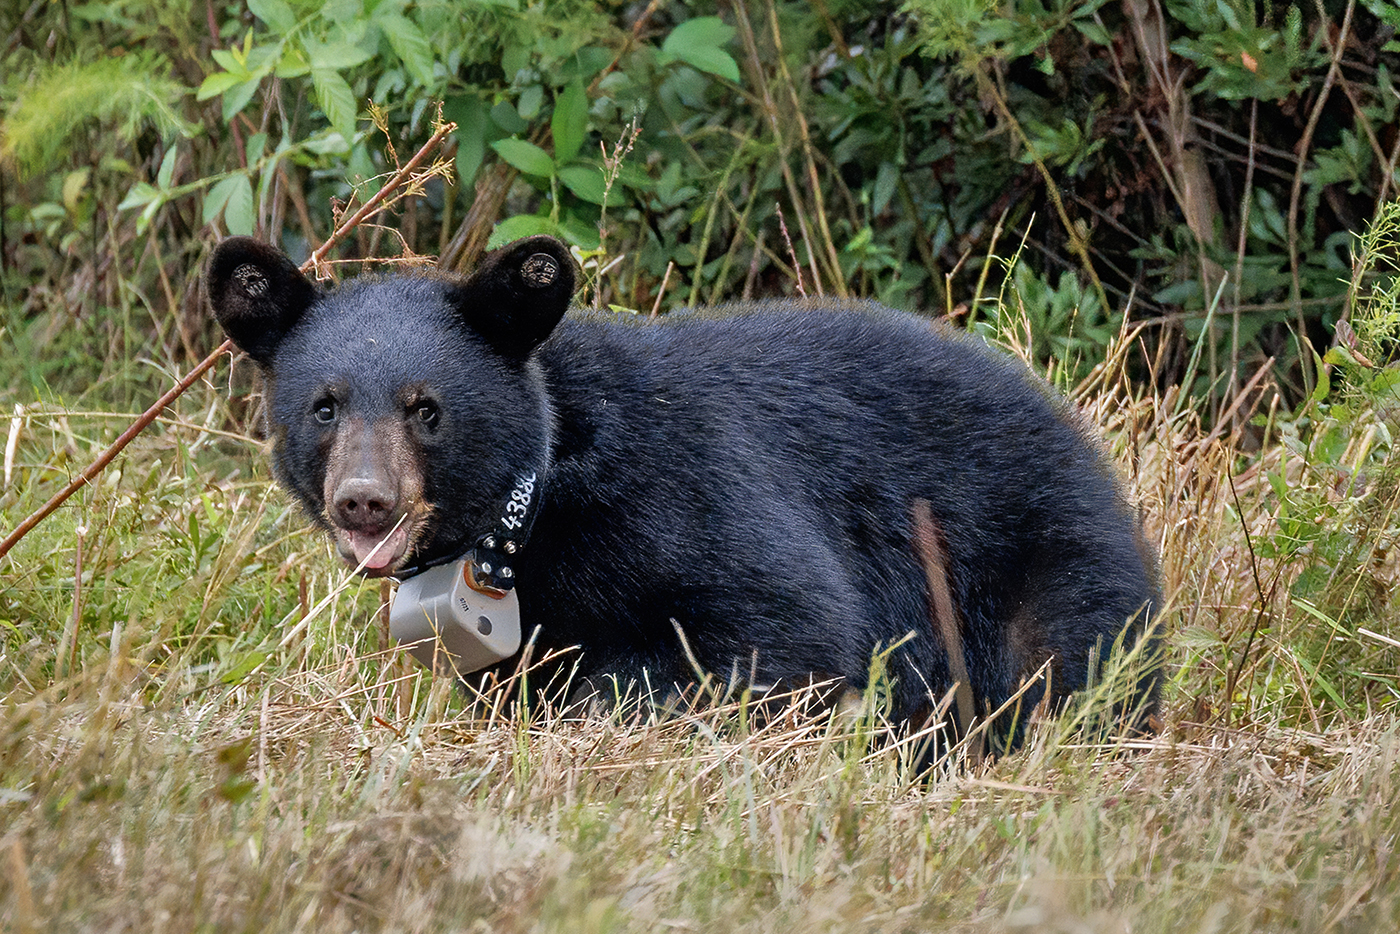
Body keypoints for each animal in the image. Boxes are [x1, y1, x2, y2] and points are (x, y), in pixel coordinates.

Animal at [207, 233, 1160, 753]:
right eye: (324, 406)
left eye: (426, 409)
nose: (364, 501)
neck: (543, 500)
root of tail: (1083, 438)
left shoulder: (686, 491)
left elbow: (788, 621)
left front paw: (615, 708)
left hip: (1039, 552)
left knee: (1072, 659)